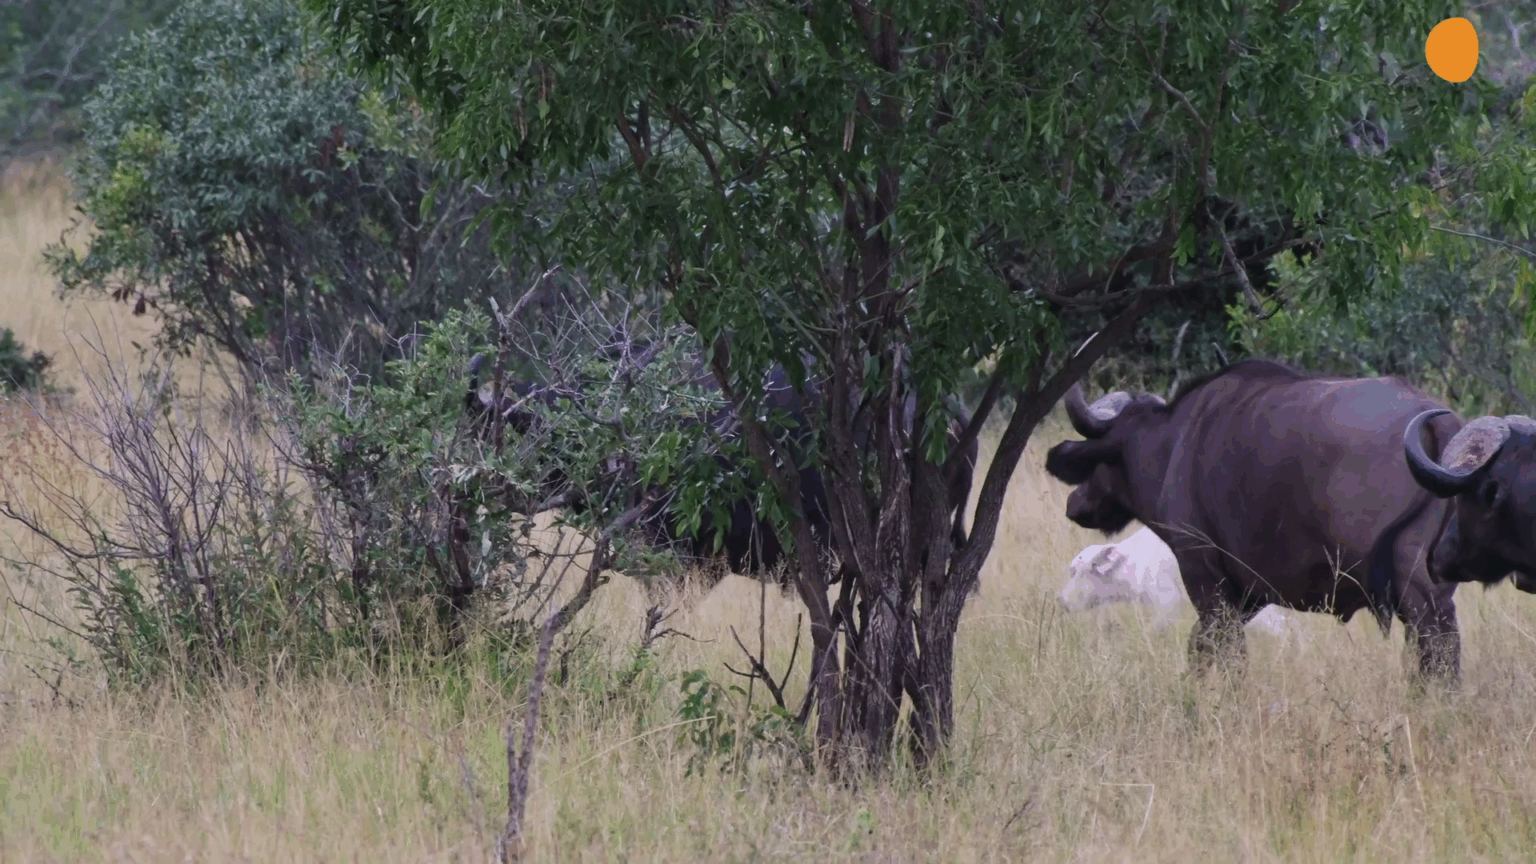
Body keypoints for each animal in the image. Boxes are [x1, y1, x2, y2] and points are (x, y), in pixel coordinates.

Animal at [1044, 359, 1464, 679]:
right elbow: (1200, 645)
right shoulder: (1251, 592)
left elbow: (1227, 651)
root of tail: (1434, 421)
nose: (1073, 503)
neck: (1174, 443)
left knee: (1438, 649)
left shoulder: (1203, 575)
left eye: (1096, 463)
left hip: (1415, 587)